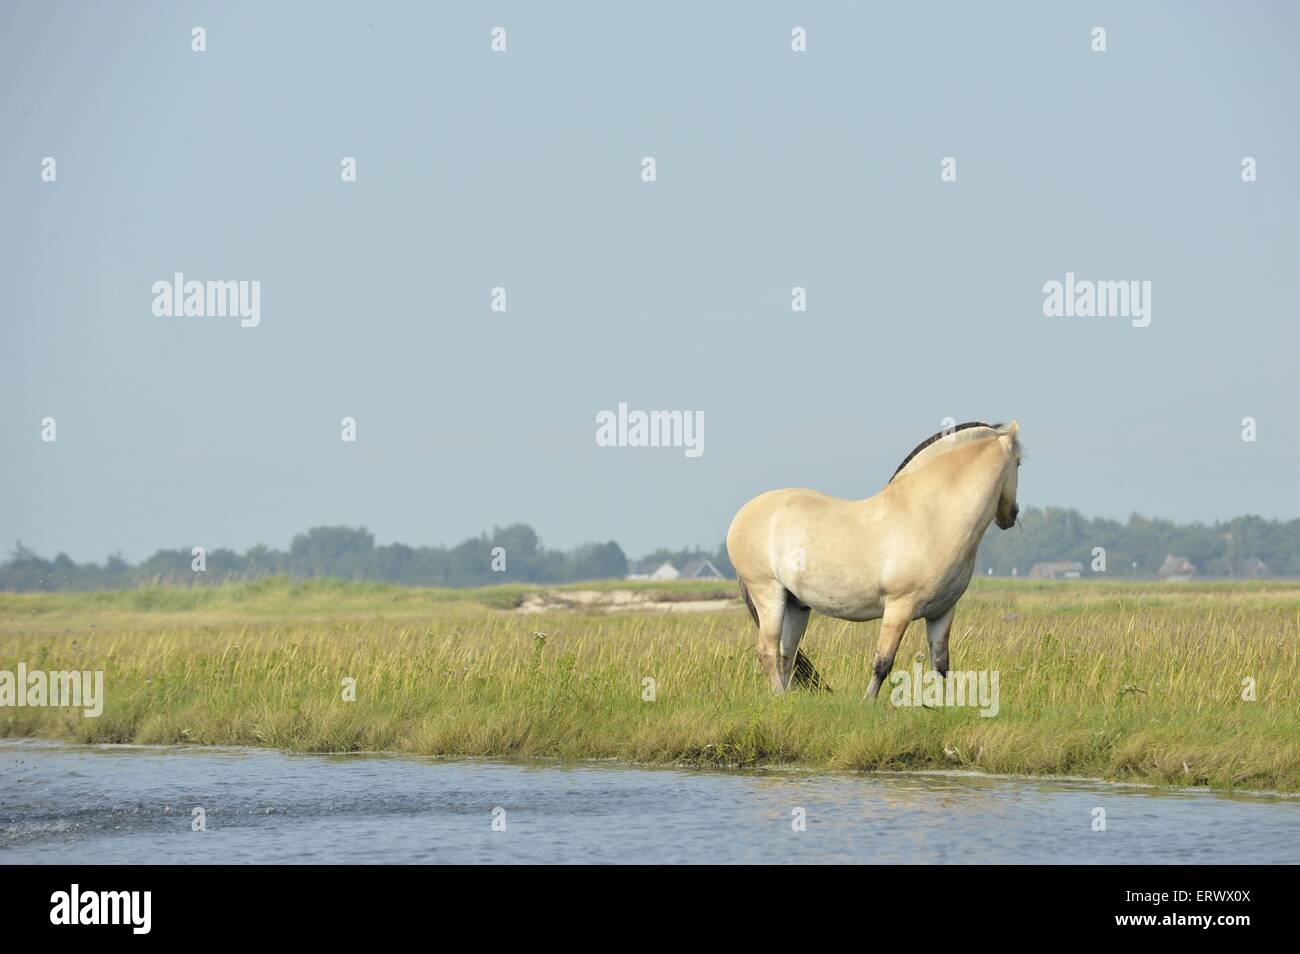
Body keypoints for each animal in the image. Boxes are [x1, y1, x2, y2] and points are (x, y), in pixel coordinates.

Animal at [726, 421, 1022, 698]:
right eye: (1019, 463)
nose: (1012, 516)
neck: (931, 516)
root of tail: (742, 515)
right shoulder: (899, 608)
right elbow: (883, 663)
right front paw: (868, 702)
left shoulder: (942, 612)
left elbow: (940, 666)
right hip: (768, 593)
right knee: (768, 651)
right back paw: (779, 696)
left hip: (796, 605)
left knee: (786, 655)